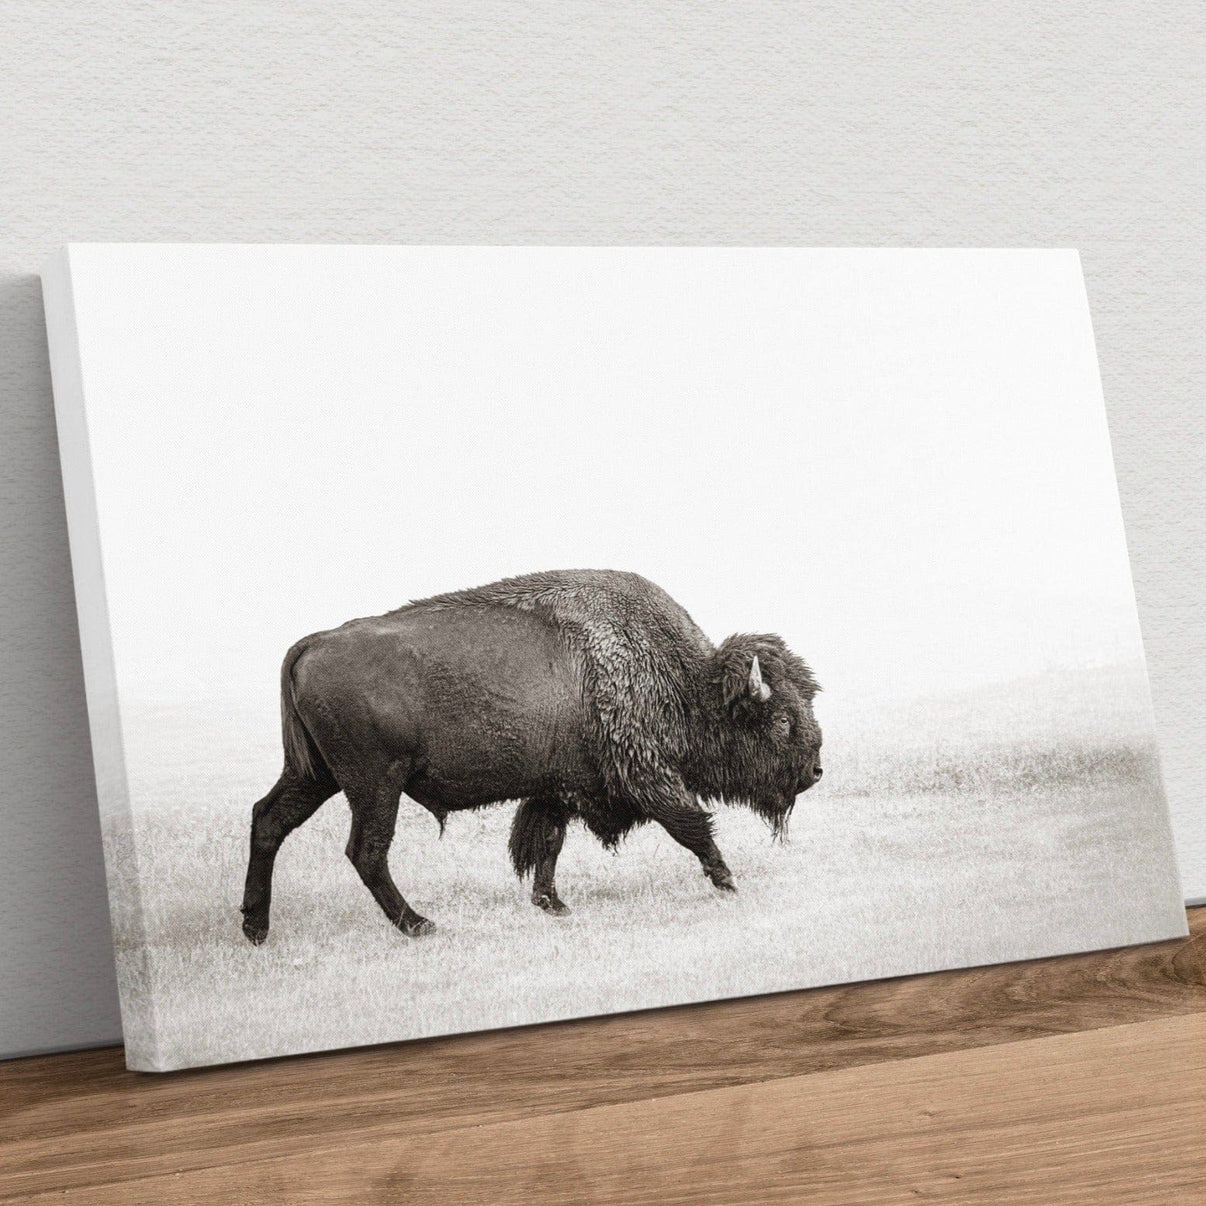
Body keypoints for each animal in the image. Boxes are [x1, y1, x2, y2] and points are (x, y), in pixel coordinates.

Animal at [241, 569, 822, 942]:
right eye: (781, 720)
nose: (815, 772)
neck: (683, 681)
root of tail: (311, 644)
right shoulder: (648, 775)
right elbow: (692, 824)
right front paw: (728, 881)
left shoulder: (556, 787)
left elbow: (545, 843)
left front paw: (553, 904)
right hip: (374, 782)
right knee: (366, 850)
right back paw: (419, 925)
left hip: (315, 775)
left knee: (268, 820)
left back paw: (255, 928)